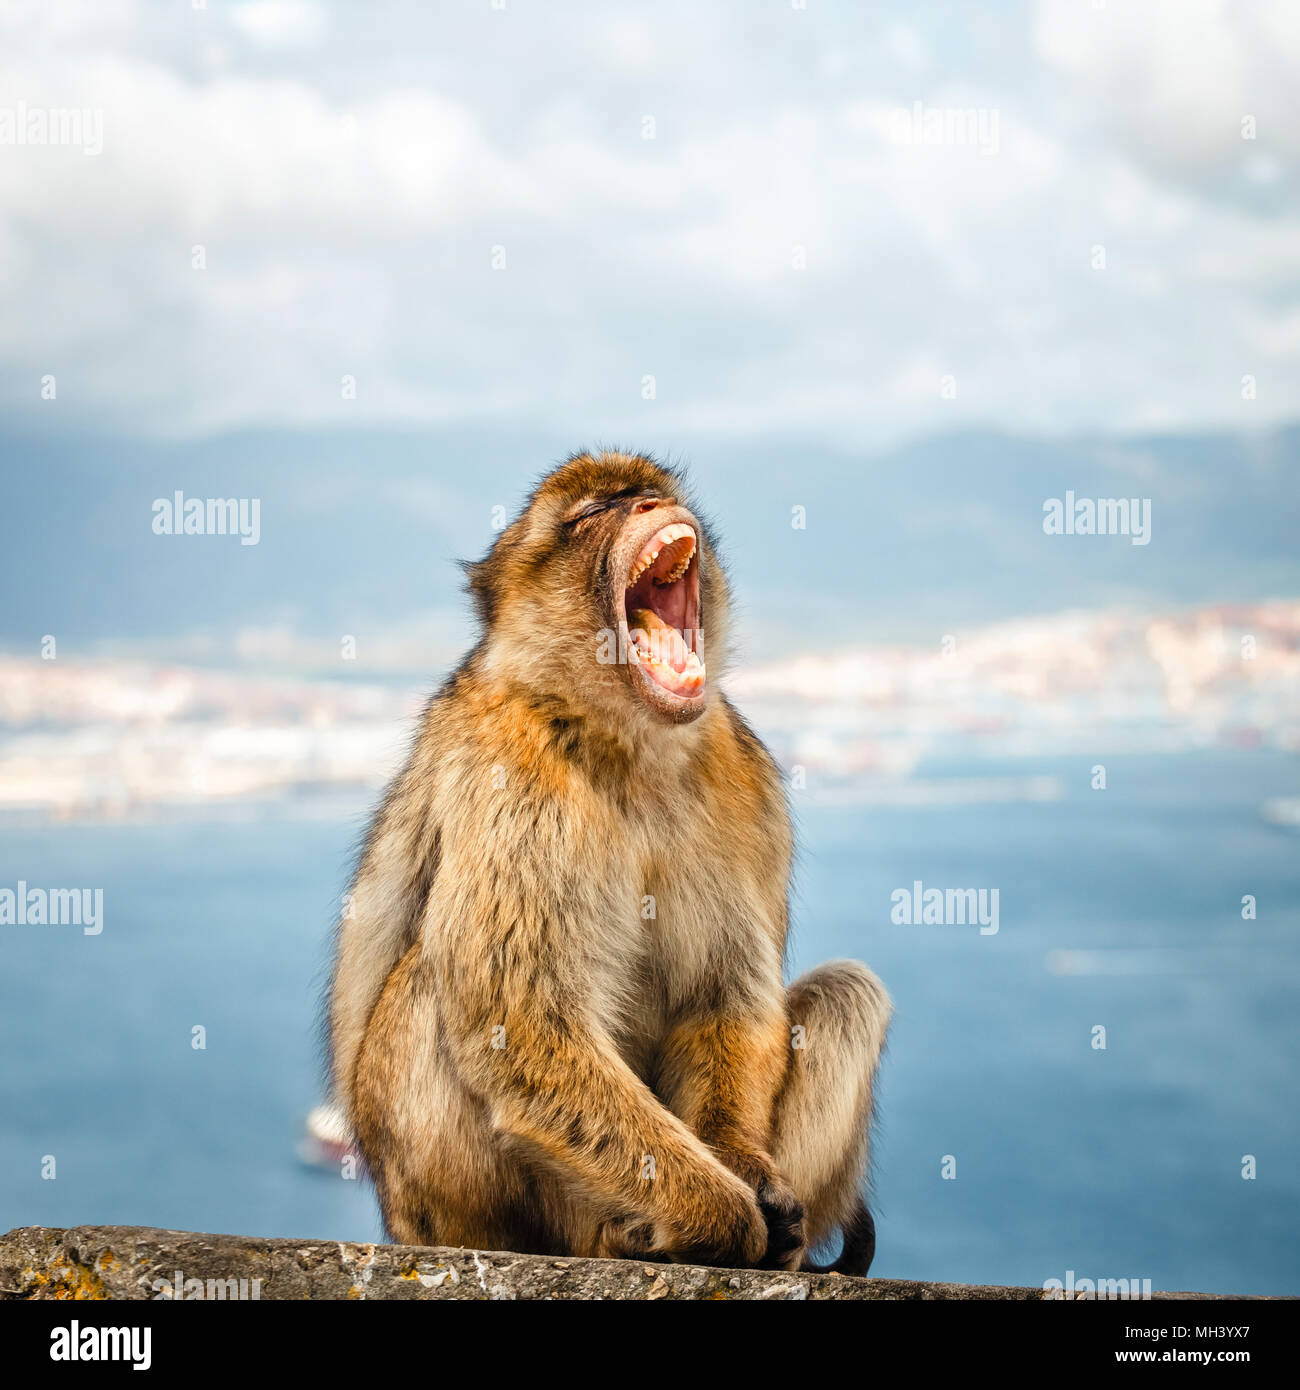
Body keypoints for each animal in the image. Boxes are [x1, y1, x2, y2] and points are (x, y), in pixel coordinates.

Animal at [328, 449, 891, 1272]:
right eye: (596, 511)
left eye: (646, 491)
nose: (648, 505)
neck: (625, 741)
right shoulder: (513, 774)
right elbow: (523, 1021)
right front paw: (724, 1212)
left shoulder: (741, 771)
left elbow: (722, 997)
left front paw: (746, 1169)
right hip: (444, 1205)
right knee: (431, 982)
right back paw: (624, 1237)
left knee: (851, 993)